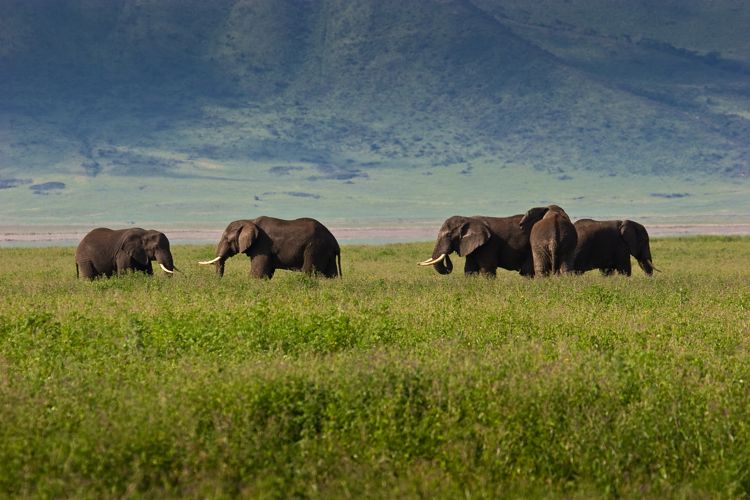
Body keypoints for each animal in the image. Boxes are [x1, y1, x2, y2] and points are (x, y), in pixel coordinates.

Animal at [198, 216, 341, 279]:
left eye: (227, 240)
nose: (219, 281)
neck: (249, 221)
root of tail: (335, 243)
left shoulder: (262, 244)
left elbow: (259, 273)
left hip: (315, 249)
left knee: (309, 273)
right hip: (325, 252)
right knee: (330, 275)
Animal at [417, 205, 565, 277]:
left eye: (448, 235)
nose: (448, 255)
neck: (468, 219)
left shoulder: (488, 244)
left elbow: (487, 268)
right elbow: (469, 269)